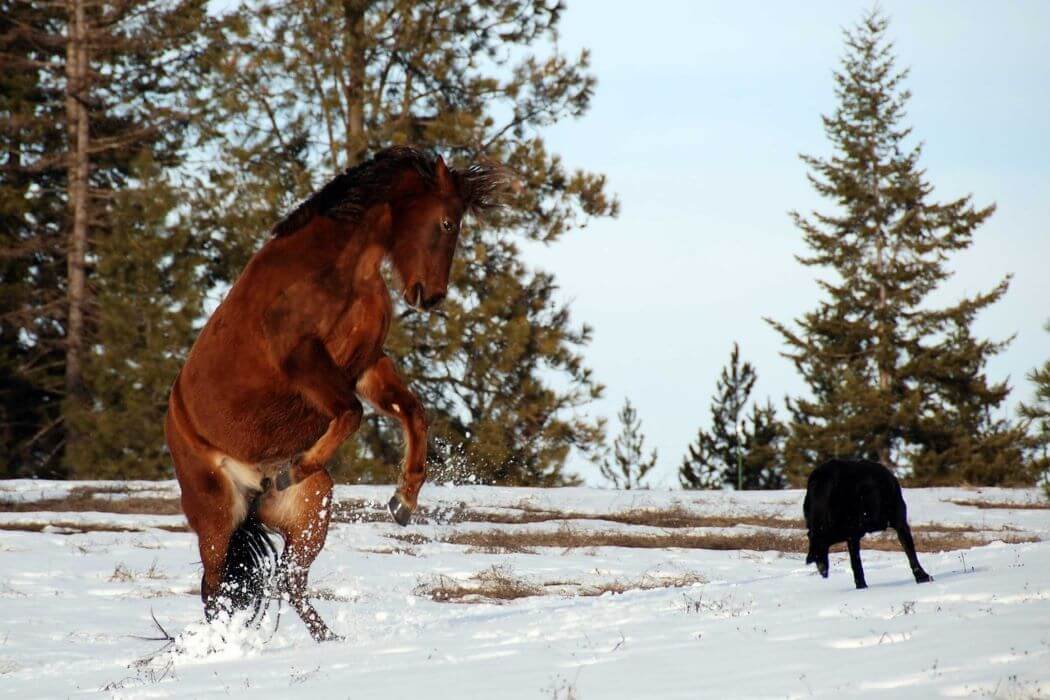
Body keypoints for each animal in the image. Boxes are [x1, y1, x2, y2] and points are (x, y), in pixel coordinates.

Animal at [165, 146, 504, 641]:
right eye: (446, 222)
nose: (432, 297)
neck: (341, 269)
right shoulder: (303, 359)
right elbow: (352, 412)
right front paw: (296, 467)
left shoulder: (366, 364)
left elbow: (412, 411)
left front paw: (403, 501)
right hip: (216, 518)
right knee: (216, 590)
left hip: (312, 509)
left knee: (288, 580)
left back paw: (331, 640)